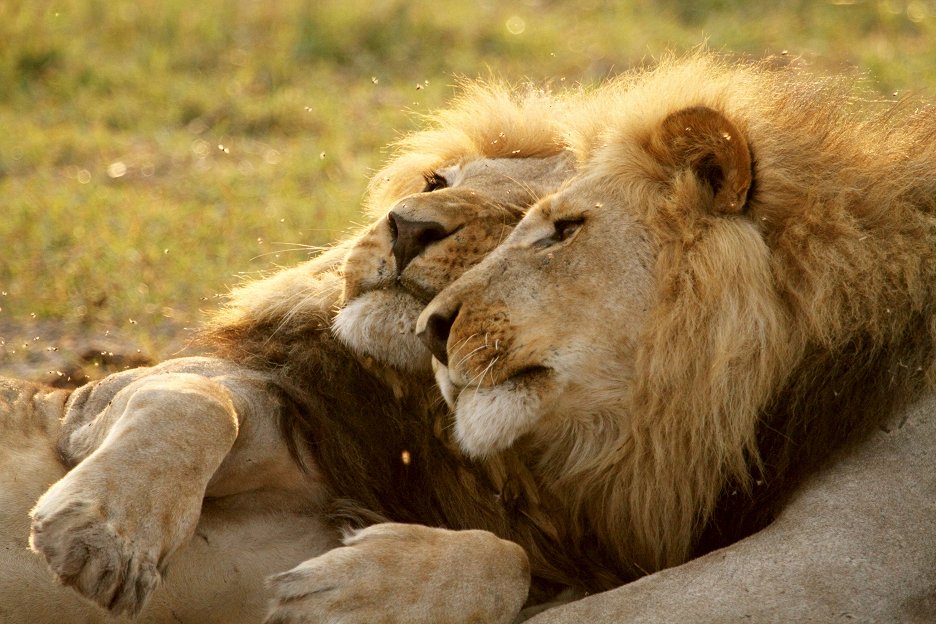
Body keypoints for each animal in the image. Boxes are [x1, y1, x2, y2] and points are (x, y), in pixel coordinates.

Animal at [1, 81, 576, 623]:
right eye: (436, 182)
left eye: (530, 220)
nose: (407, 226)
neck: (421, 426)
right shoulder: (88, 408)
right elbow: (201, 397)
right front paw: (101, 534)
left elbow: (512, 561)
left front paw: (345, 597)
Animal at [276, 53, 935, 622]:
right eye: (434, 181)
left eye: (563, 229)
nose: (432, 331)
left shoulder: (844, 554)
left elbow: (566, 600)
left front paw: (353, 587)